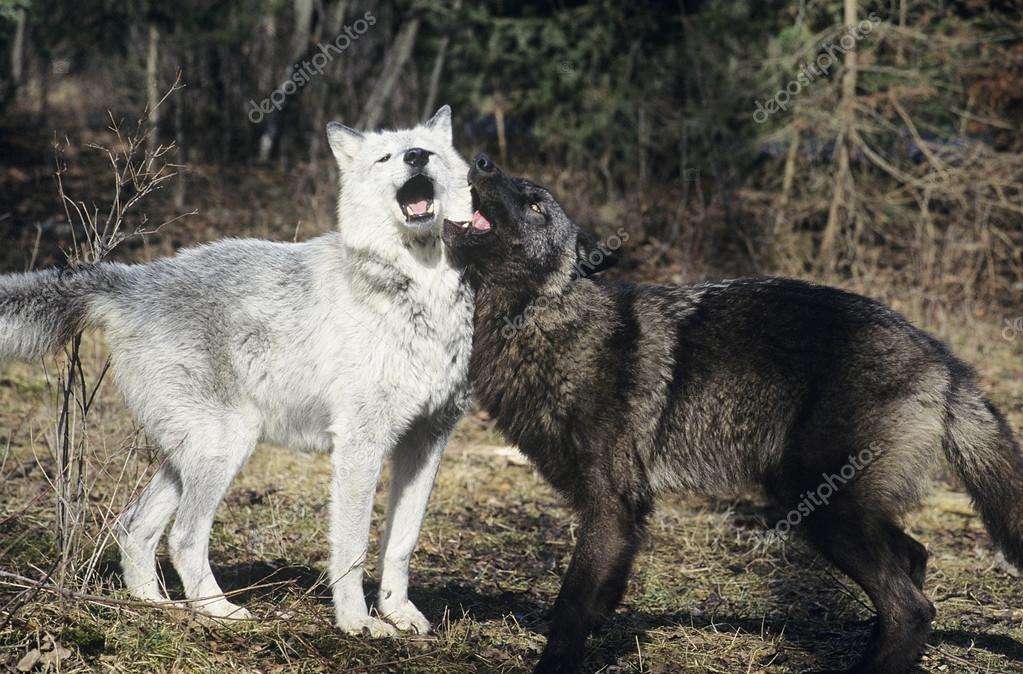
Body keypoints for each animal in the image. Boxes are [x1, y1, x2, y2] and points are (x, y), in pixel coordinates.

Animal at [0, 107, 474, 636]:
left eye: (426, 151)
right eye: (386, 157)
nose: (415, 157)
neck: (419, 289)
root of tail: (132, 278)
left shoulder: (428, 440)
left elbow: (401, 544)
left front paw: (399, 614)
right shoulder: (360, 444)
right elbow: (351, 548)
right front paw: (357, 622)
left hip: (192, 455)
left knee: (134, 526)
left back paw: (156, 607)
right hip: (228, 443)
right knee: (184, 536)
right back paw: (218, 610)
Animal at [442, 154, 1023, 674]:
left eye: (535, 203)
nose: (482, 161)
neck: (544, 319)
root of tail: (944, 360)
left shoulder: (611, 506)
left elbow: (570, 607)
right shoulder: (628, 516)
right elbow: (601, 599)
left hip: (821, 507)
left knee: (913, 607)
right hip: (841, 508)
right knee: (916, 558)